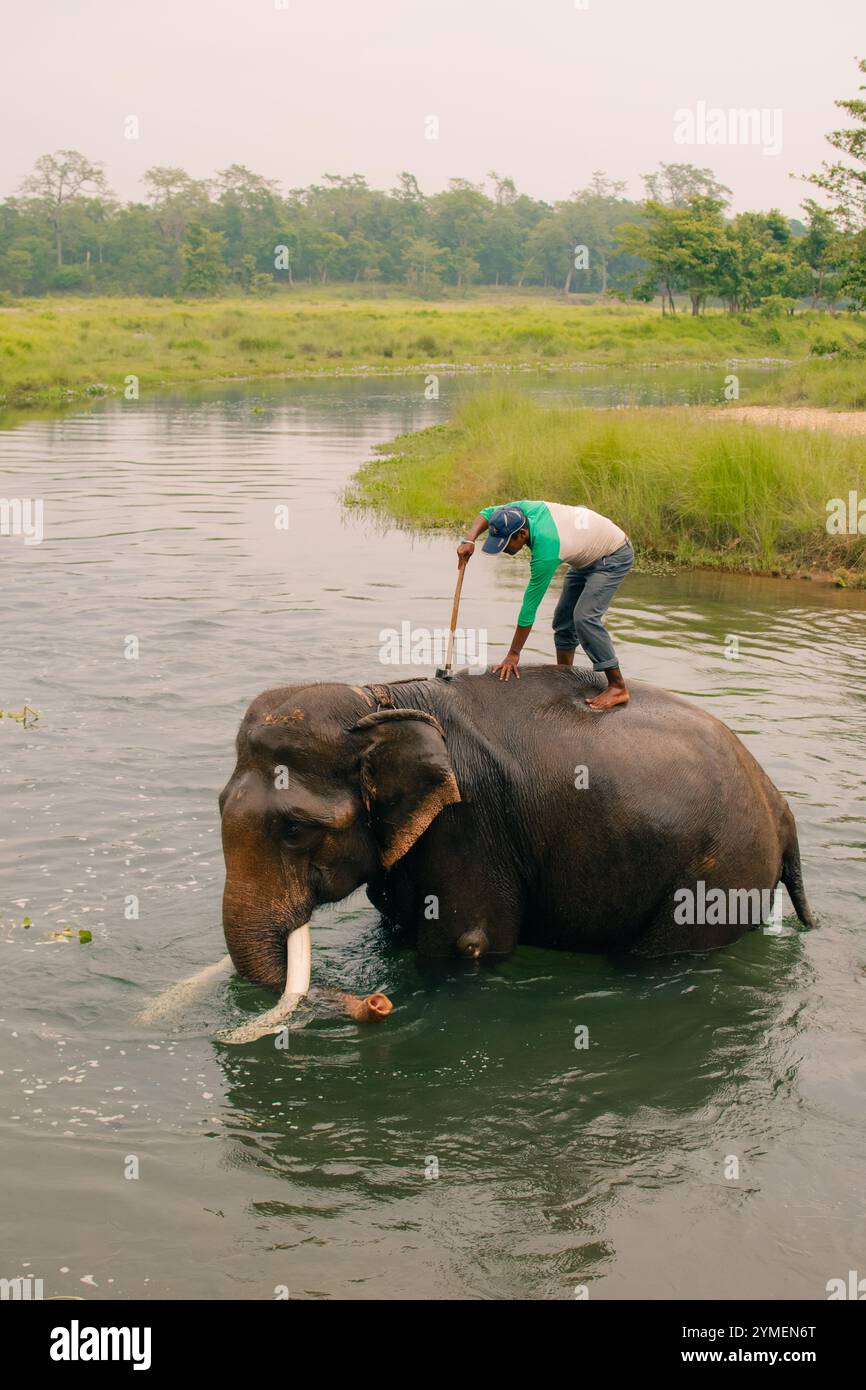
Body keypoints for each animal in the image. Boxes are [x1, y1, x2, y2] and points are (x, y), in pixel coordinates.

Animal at [218, 666, 815, 996]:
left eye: (294, 829)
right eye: (219, 805)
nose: (374, 1005)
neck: (380, 699)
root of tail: (780, 806)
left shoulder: (470, 829)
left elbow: (467, 944)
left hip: (722, 872)